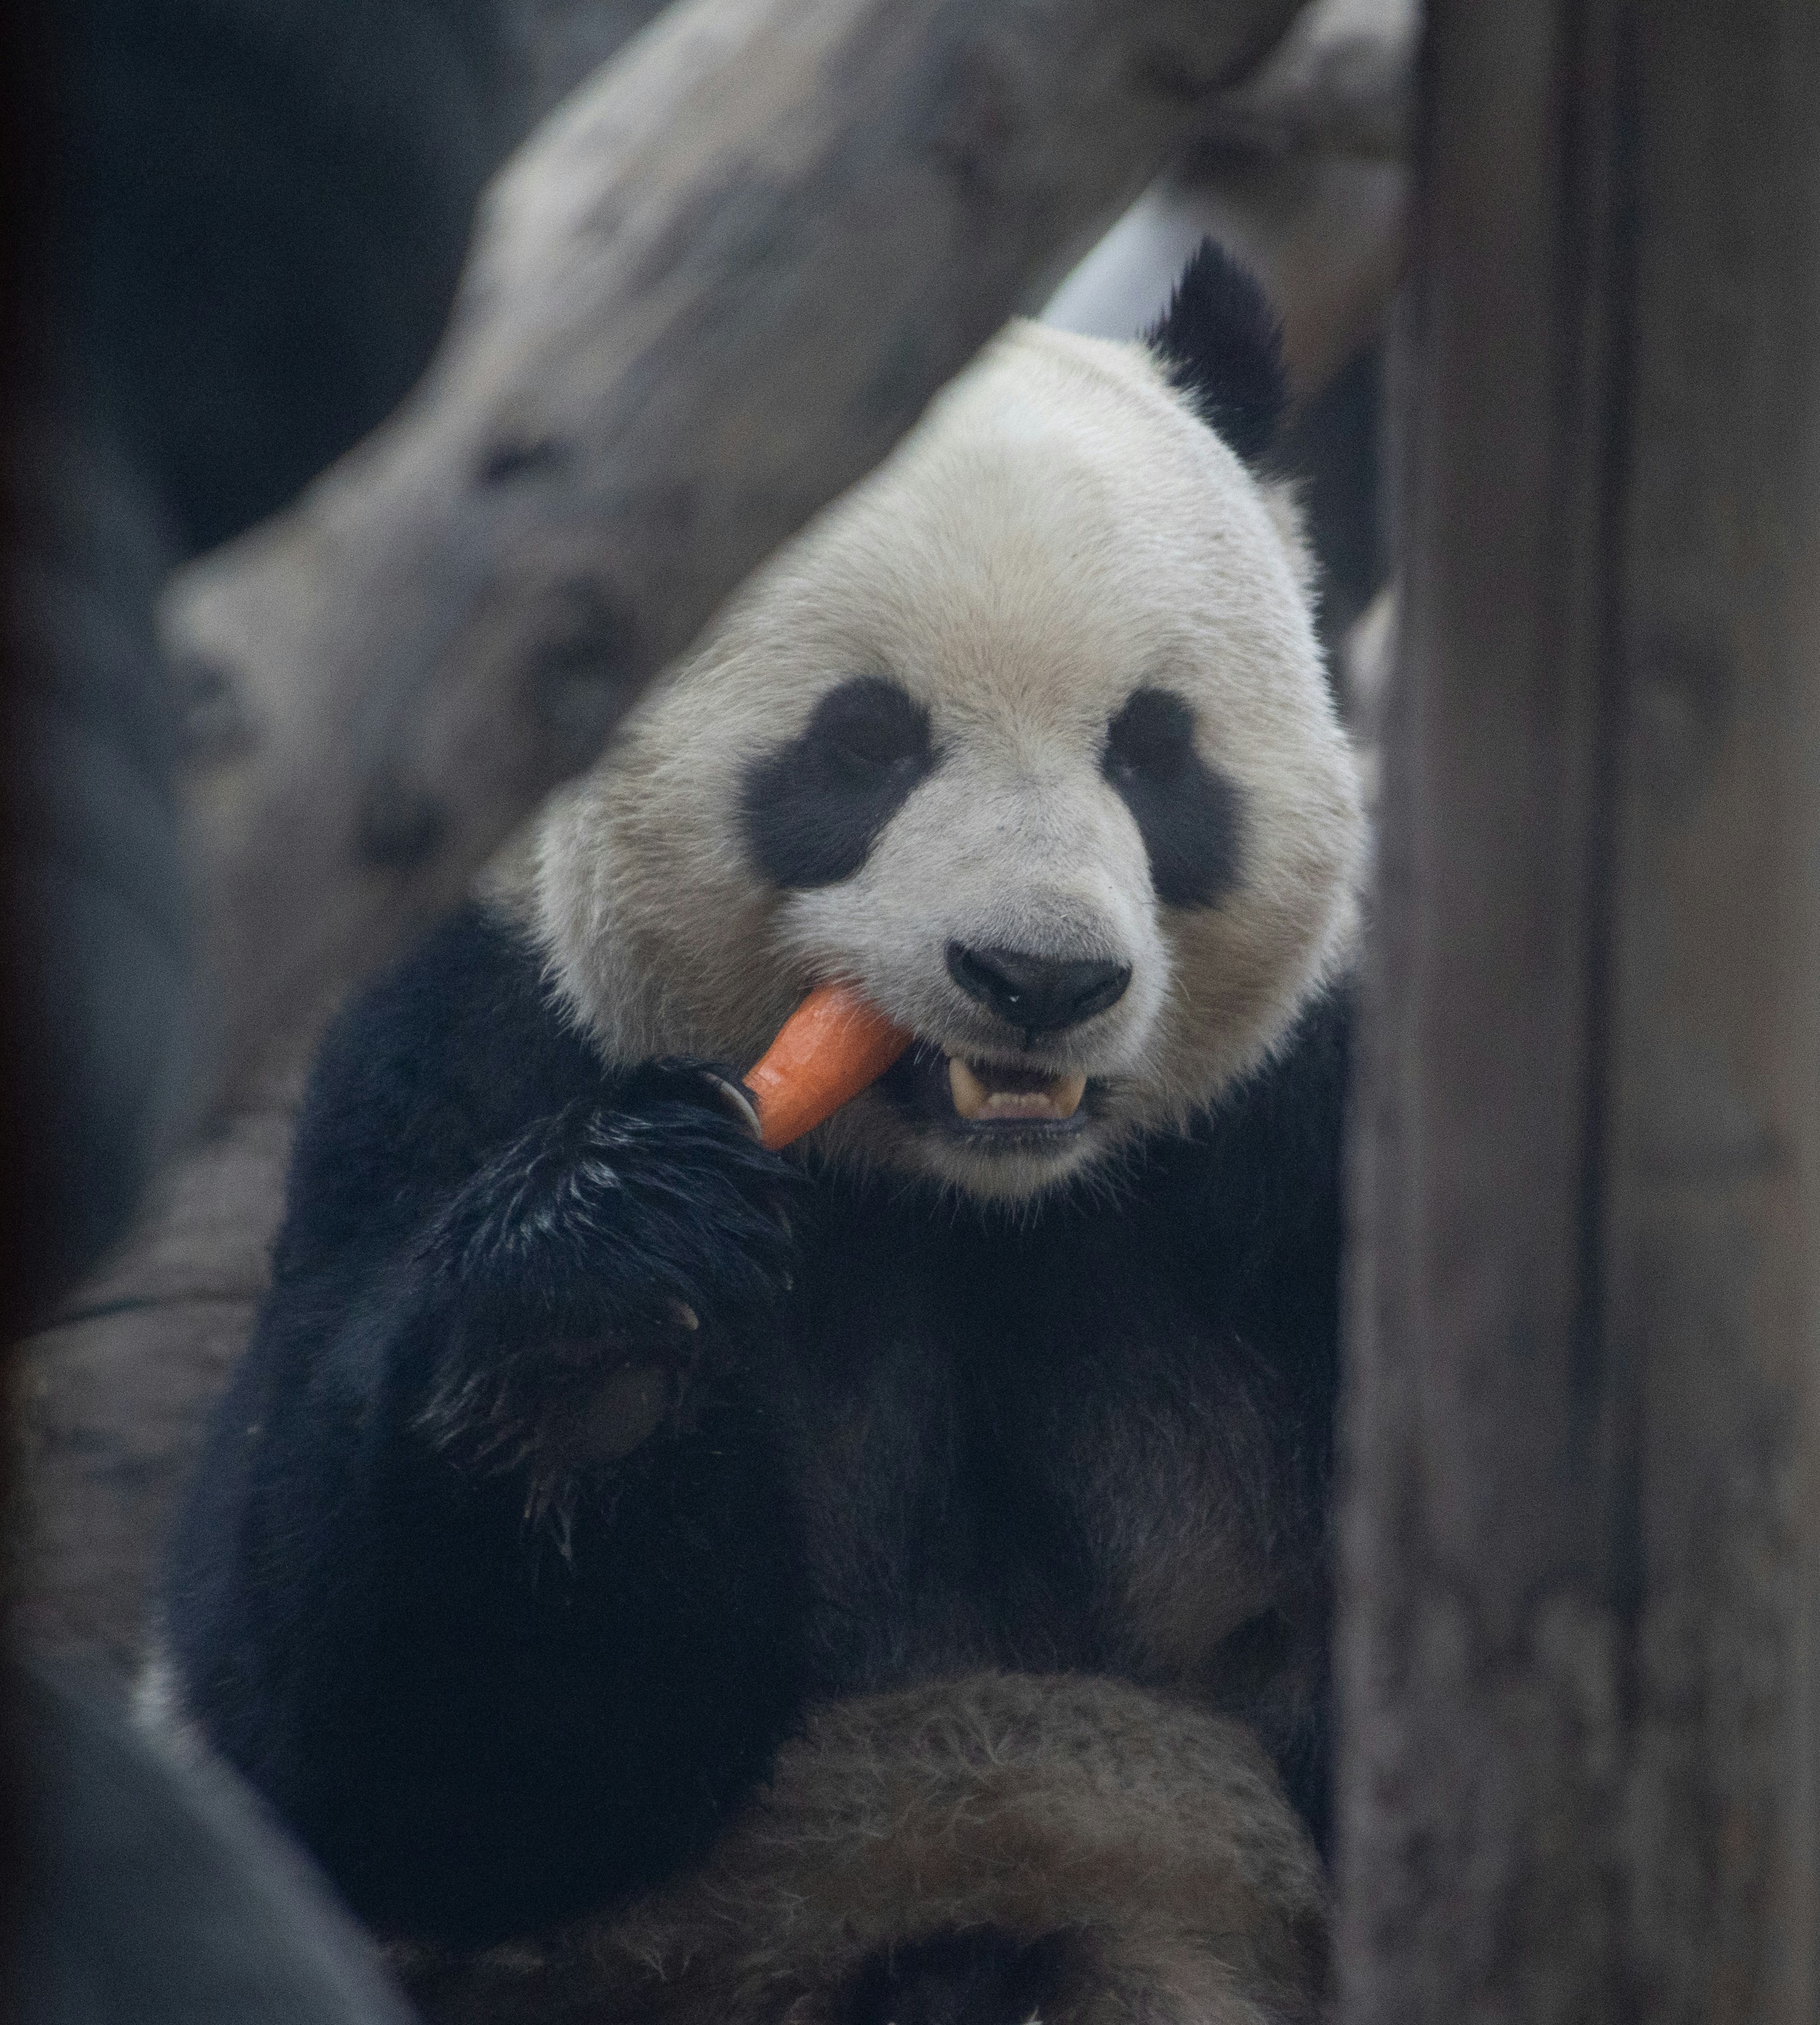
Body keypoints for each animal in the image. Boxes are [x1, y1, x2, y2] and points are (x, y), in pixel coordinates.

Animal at [156, 241, 1366, 2025]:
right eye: (865, 742)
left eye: (1156, 751)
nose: (1039, 980)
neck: (961, 1189)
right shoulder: (475, 1050)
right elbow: (382, 1748)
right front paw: (599, 1305)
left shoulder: (1292, 1138)